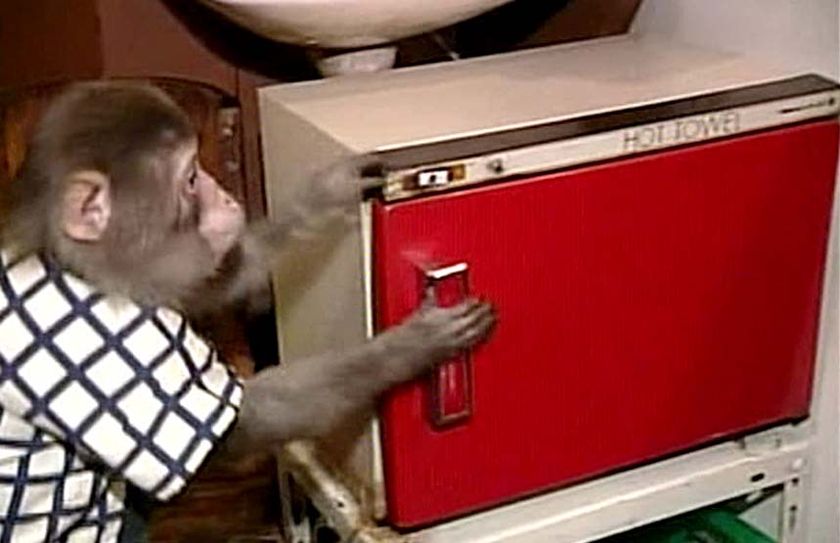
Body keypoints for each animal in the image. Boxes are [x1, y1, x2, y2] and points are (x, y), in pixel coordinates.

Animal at [0, 81, 496, 542]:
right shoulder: (121, 346)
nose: (223, 195)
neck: (84, 264)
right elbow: (251, 419)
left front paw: (328, 189)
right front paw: (413, 346)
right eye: (191, 180)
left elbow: (223, 277)